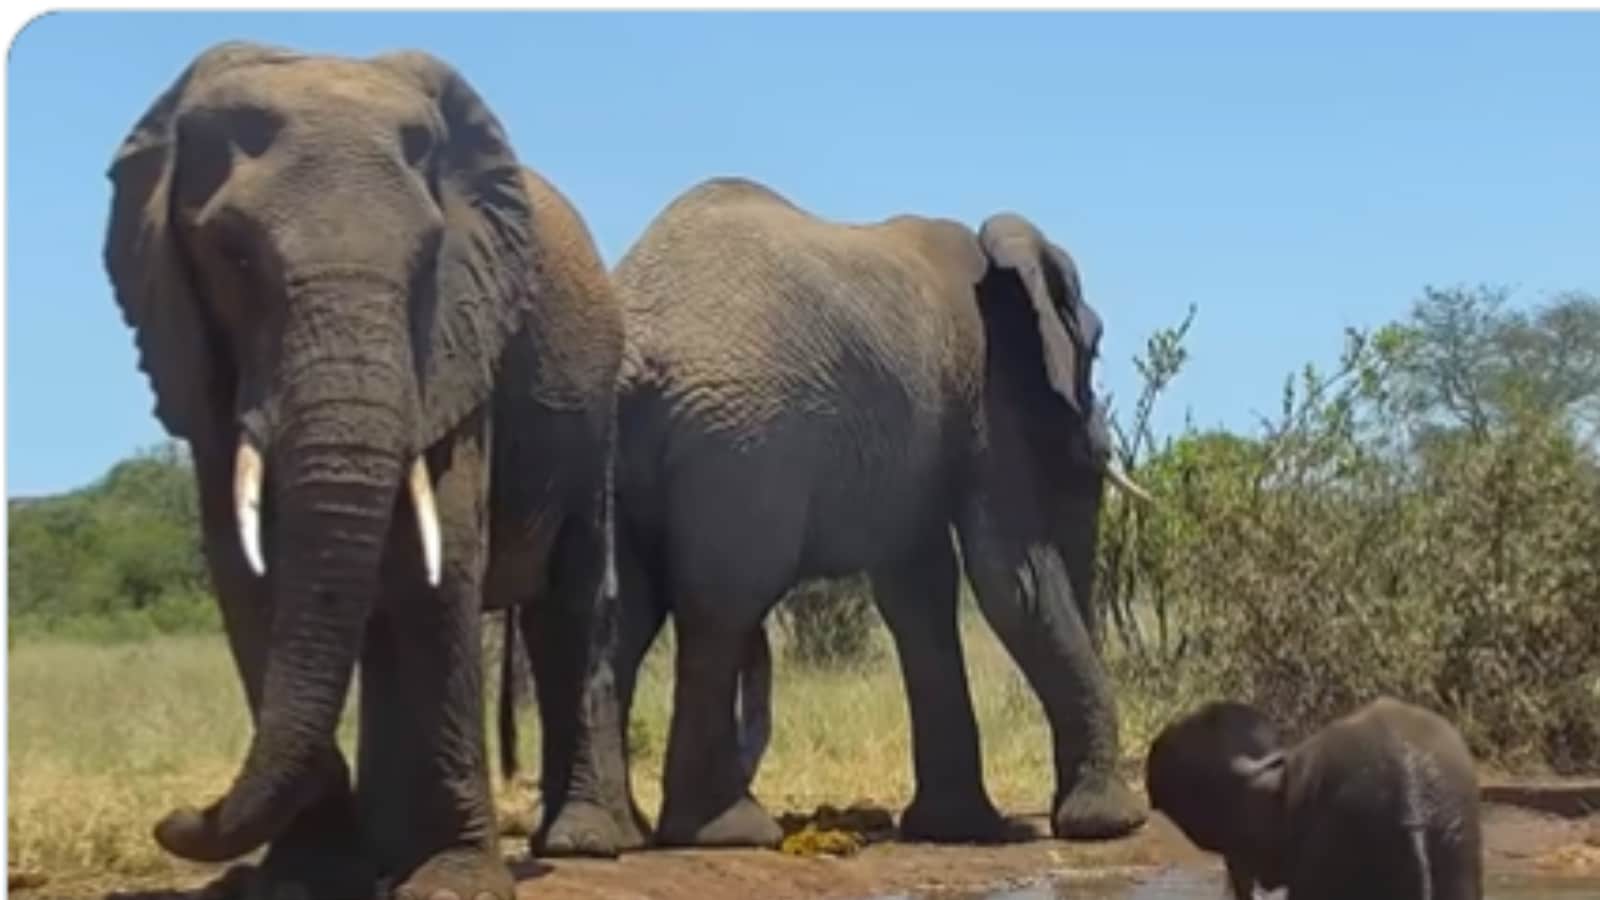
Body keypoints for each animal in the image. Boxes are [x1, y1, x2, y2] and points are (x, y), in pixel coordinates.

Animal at [102, 41, 638, 899]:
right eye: (233, 255)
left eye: (427, 259)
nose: (176, 817)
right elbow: (248, 576)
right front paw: (306, 878)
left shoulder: (462, 335)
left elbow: (441, 554)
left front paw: (451, 881)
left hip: (596, 408)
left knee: (571, 603)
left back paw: (582, 842)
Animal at [581, 176, 1152, 849]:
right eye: (1096, 347)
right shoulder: (985, 396)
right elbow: (1014, 578)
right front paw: (1111, 824)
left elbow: (917, 590)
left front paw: (955, 827)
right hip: (740, 447)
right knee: (721, 608)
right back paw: (724, 831)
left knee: (619, 618)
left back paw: (602, 836)